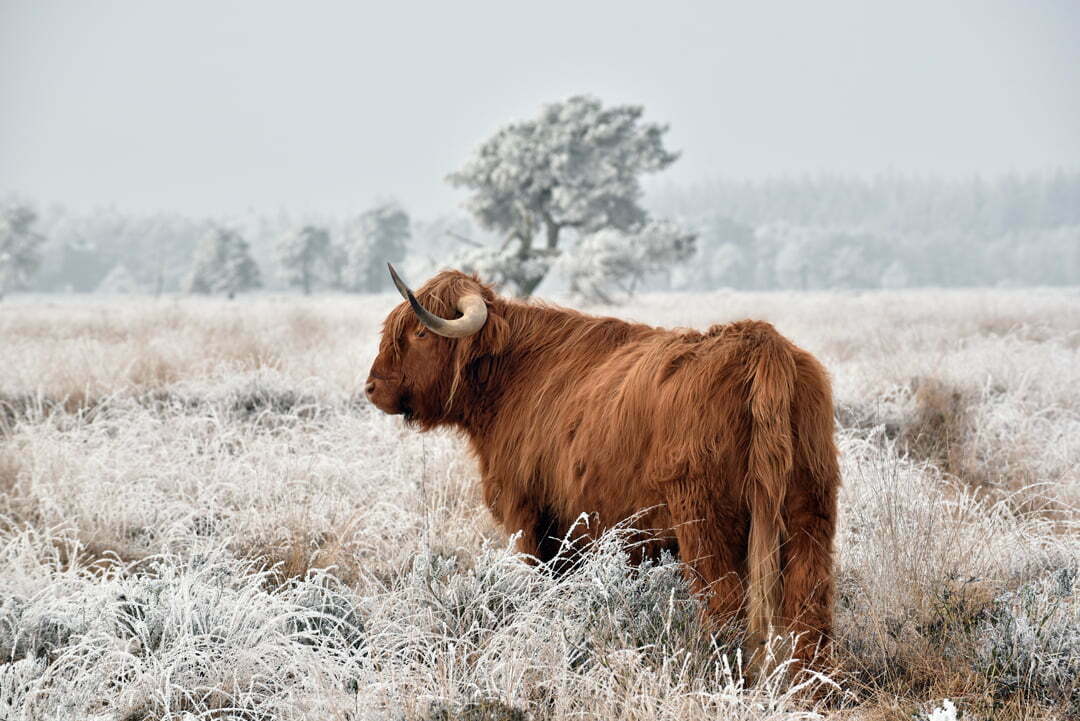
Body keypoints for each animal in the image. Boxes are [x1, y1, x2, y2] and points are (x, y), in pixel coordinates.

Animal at [365, 265, 839, 671]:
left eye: (420, 332)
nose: (371, 387)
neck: (514, 378)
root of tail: (759, 343)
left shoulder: (532, 517)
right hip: (810, 512)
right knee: (809, 608)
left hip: (706, 522)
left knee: (724, 604)